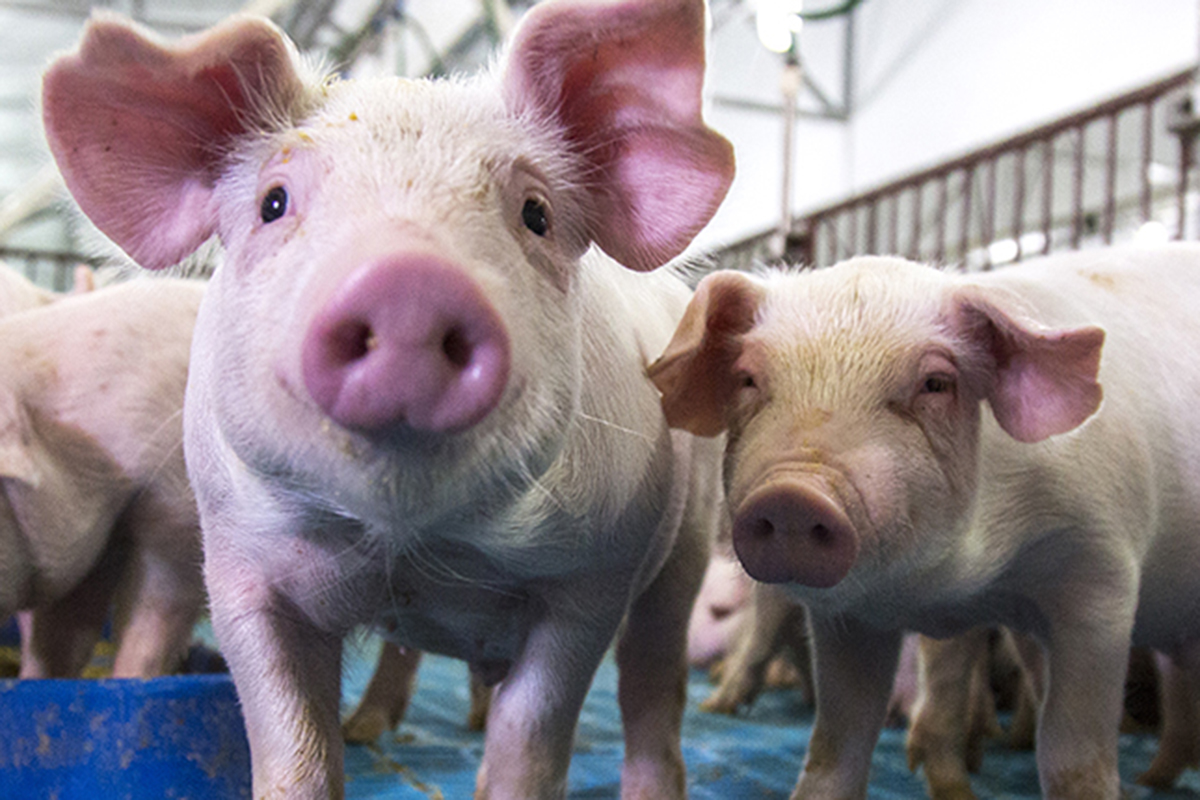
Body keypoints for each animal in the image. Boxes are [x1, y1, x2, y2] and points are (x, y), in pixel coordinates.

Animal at [41, 0, 733, 797]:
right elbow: (291, 744)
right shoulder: (239, 565)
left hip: (689, 537)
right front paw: (328, 742)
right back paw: (368, 729)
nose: (410, 281)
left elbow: (533, 733)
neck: (411, 548)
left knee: (654, 675)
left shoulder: (590, 580)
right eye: (273, 203)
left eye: (536, 213)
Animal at [649, 244, 1200, 799]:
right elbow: (837, 741)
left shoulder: (1103, 574)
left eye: (936, 384)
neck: (951, 588)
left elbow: (1072, 754)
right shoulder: (853, 618)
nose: (792, 495)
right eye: (747, 379)